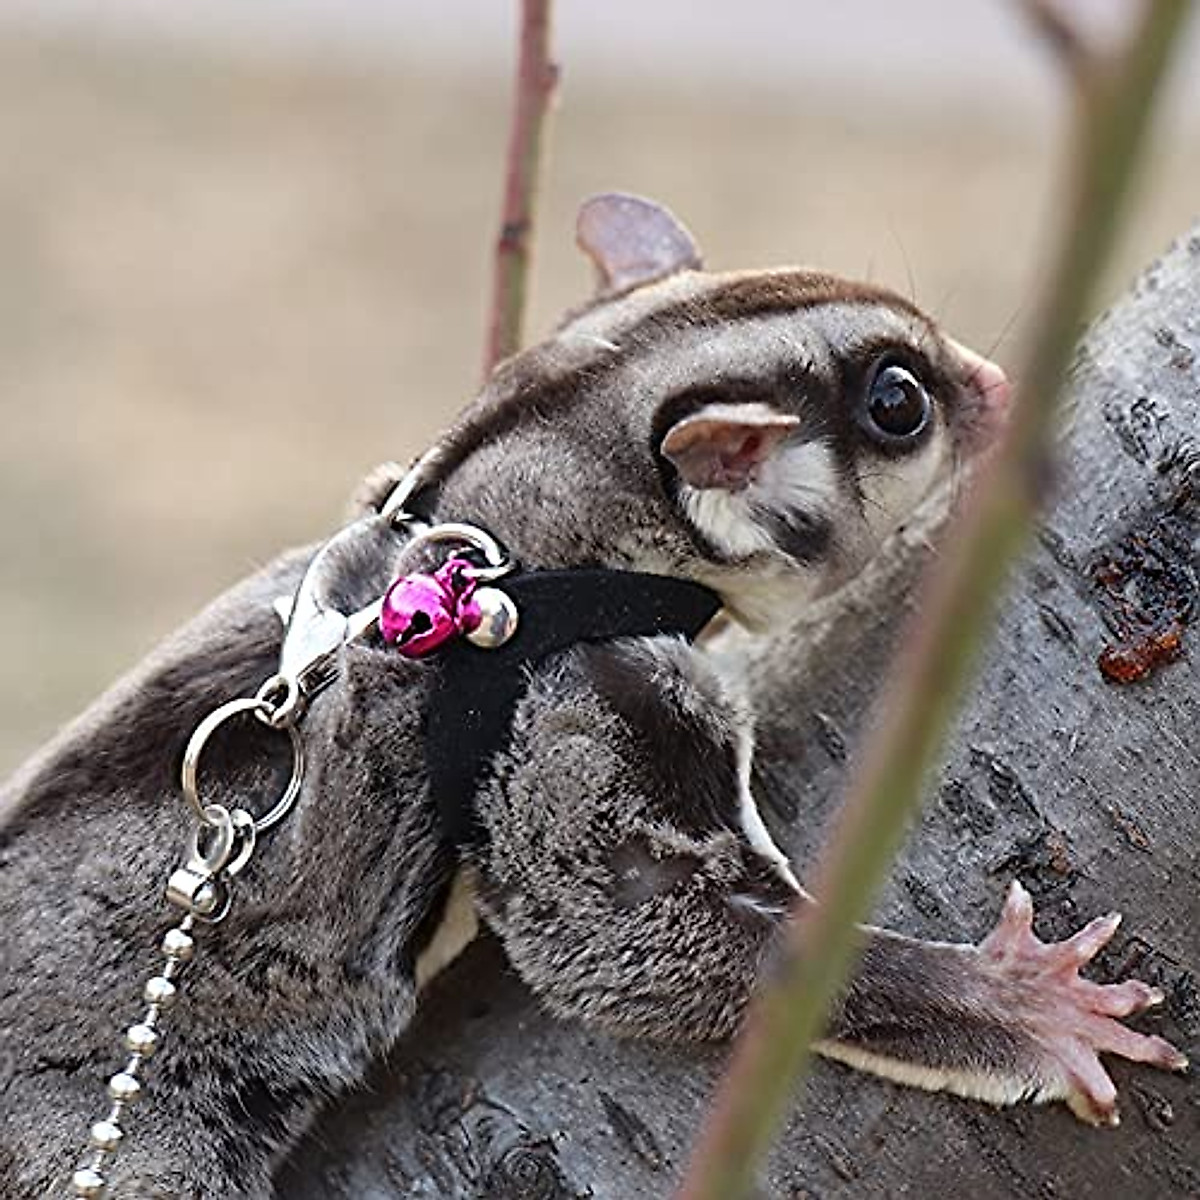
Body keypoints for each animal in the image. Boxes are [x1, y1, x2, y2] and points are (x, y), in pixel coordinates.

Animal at [0, 194, 1184, 1198]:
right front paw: (1016, 1006)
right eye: (901, 403)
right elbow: (626, 929)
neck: (506, 545)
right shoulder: (583, 694)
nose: (1005, 390)